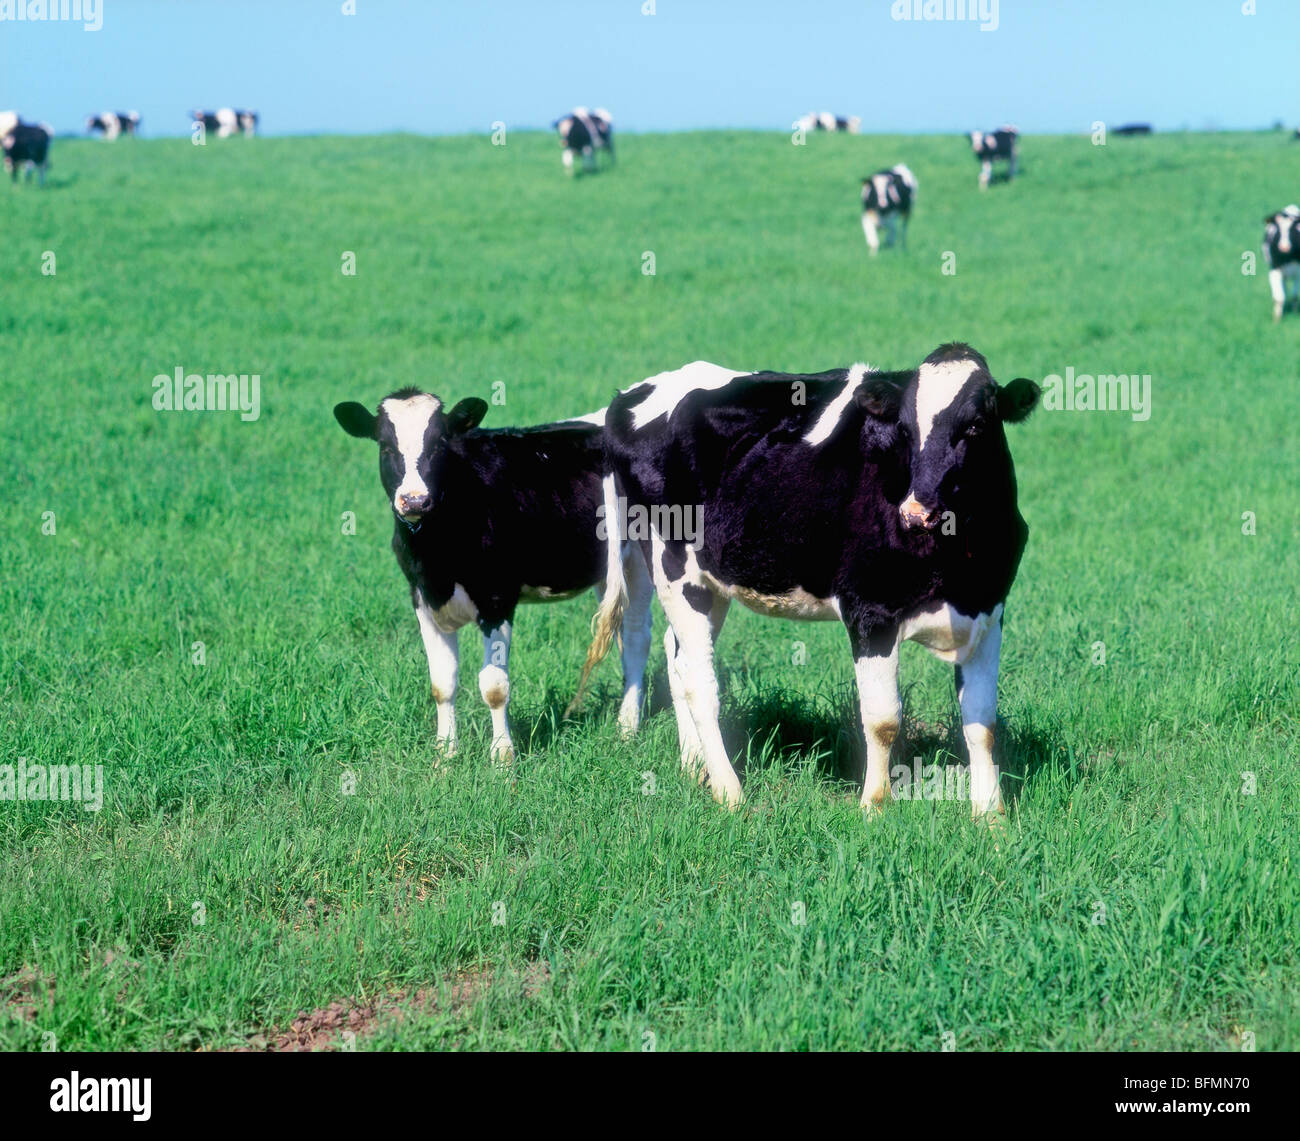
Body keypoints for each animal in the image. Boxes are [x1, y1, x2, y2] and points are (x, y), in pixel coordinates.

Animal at [333, 390, 653, 764]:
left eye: (439, 444)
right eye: (385, 446)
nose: (414, 500)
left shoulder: (497, 600)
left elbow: (494, 687)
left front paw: (502, 757)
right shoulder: (422, 598)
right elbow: (441, 683)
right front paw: (445, 754)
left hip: (641, 560)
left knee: (637, 638)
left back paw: (627, 729)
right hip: (609, 572)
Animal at [576, 344, 1040, 818]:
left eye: (976, 425)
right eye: (905, 430)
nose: (916, 511)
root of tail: (630, 395)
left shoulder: (989, 612)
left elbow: (982, 722)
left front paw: (991, 815)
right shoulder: (869, 611)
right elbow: (884, 719)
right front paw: (874, 806)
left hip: (709, 581)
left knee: (679, 660)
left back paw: (694, 766)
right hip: (672, 567)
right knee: (699, 683)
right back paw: (728, 791)